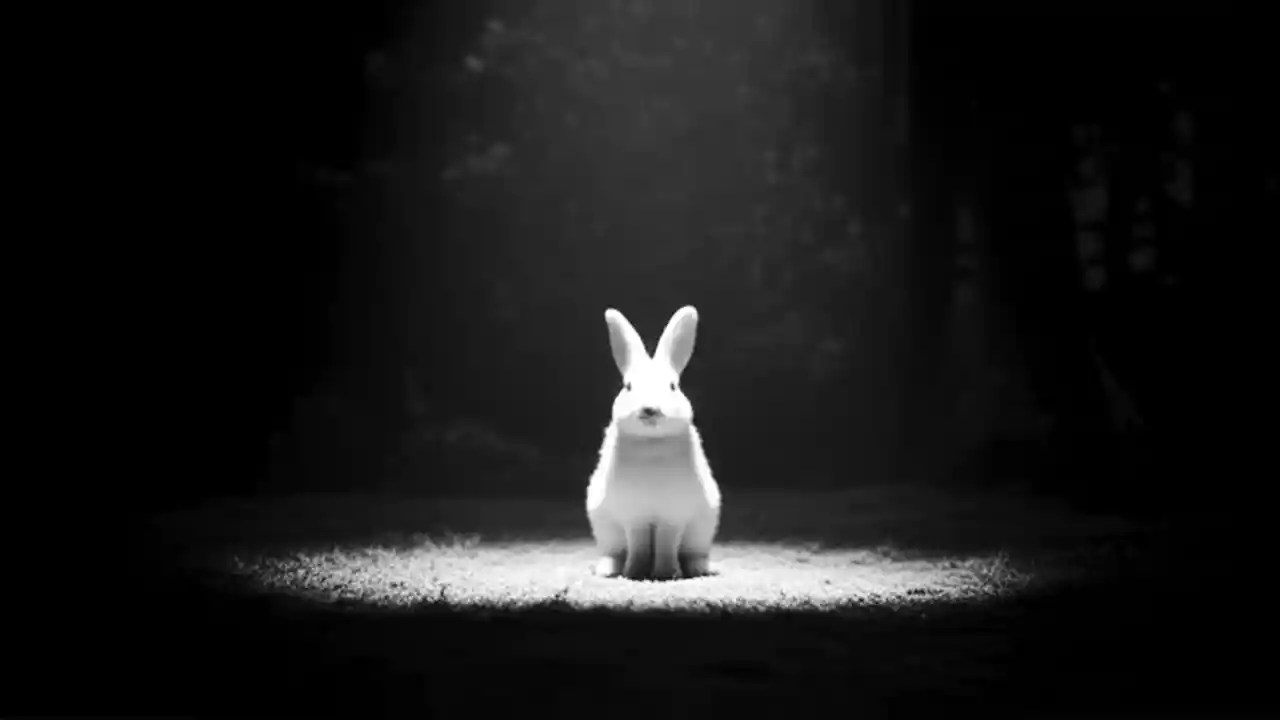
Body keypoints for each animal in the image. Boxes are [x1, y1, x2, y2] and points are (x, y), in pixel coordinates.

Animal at [585, 305, 722, 581]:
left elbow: (666, 544)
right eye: (628, 386)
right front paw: (636, 572)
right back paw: (608, 570)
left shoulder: (673, 517)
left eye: (673, 386)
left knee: (693, 555)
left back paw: (702, 569)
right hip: (606, 532)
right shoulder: (634, 517)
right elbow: (638, 545)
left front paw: (666, 573)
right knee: (614, 553)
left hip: (701, 534)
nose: (649, 409)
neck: (651, 442)